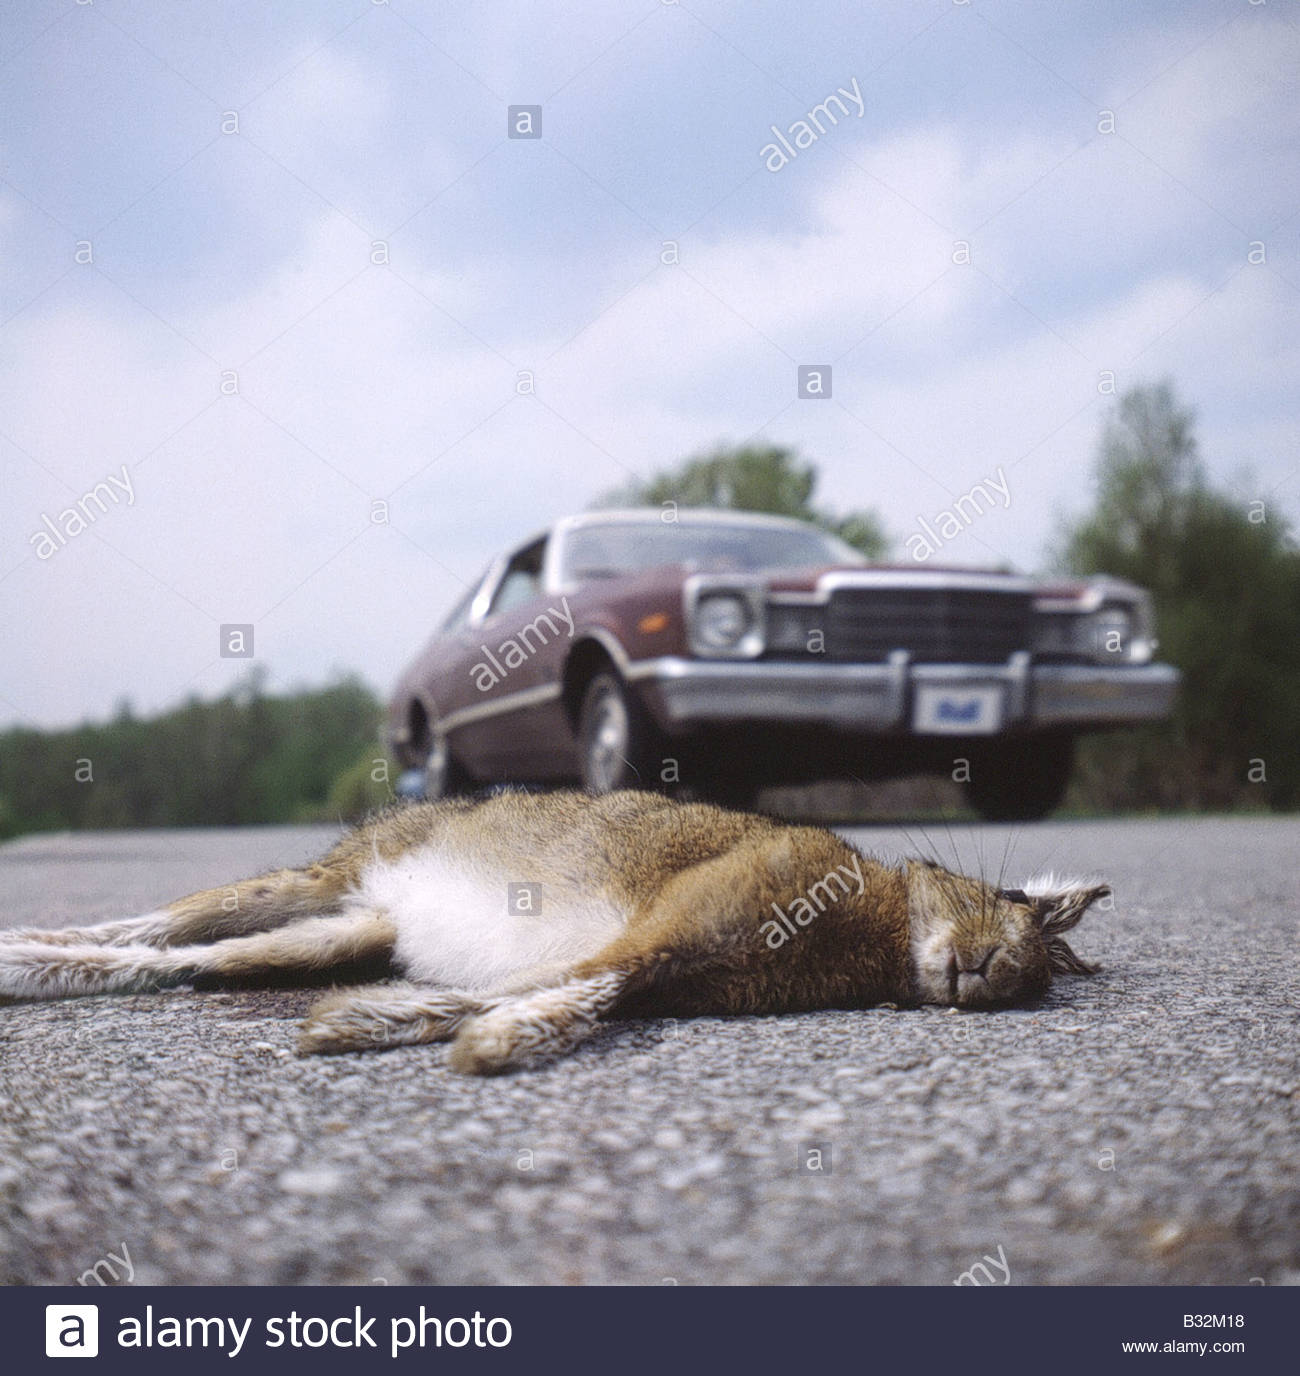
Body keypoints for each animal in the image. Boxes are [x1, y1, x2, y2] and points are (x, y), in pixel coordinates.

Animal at [0, 789, 1109, 1074]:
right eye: (1013, 900)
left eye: (1039, 974)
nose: (993, 970)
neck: (877, 923)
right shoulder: (685, 917)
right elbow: (585, 984)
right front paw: (485, 1044)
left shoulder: (674, 961)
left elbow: (577, 989)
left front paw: (368, 1025)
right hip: (316, 884)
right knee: (157, 927)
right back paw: (24, 952)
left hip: (335, 930)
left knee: (182, 961)